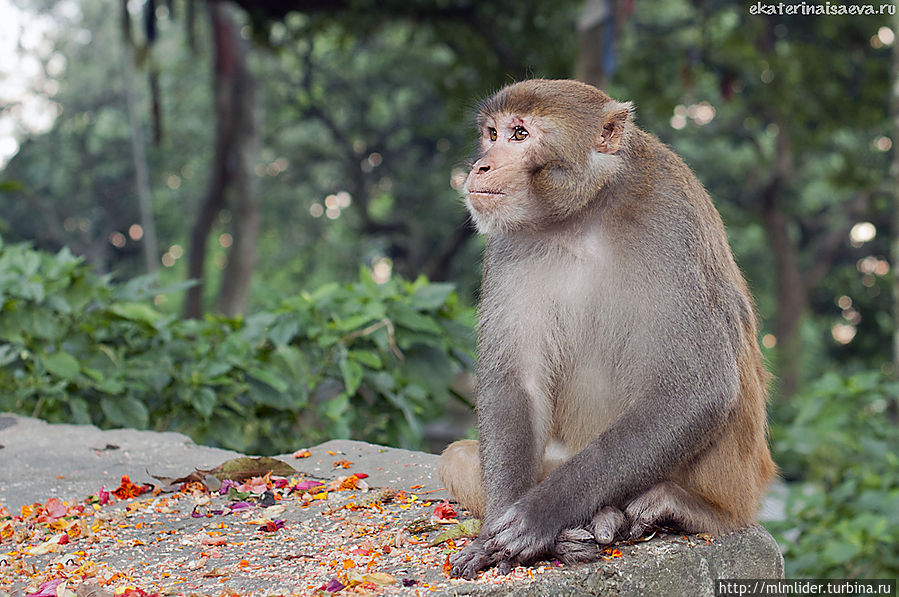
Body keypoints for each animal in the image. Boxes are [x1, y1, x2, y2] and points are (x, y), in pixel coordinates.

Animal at [440, 79, 776, 576]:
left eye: (520, 134)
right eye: (492, 133)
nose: (481, 164)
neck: (585, 212)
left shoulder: (670, 216)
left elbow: (697, 386)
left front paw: (540, 514)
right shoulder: (508, 243)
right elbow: (516, 382)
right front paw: (496, 532)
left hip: (742, 481)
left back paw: (687, 507)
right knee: (457, 456)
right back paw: (591, 525)